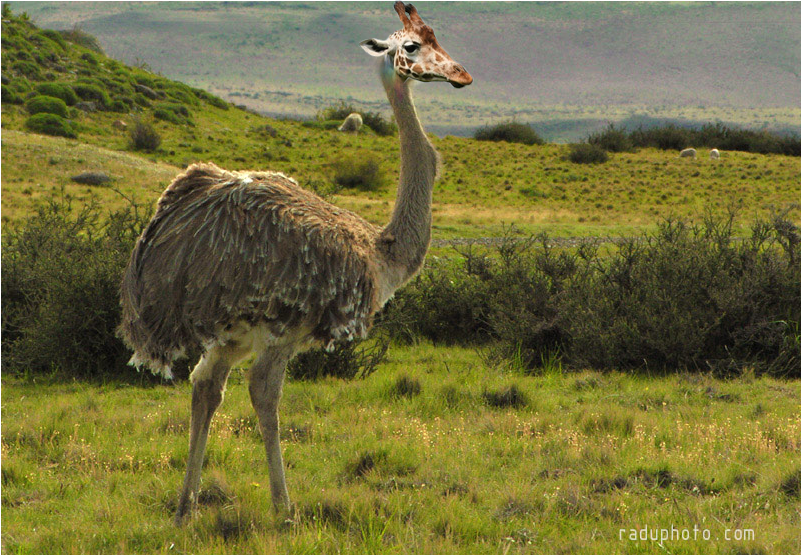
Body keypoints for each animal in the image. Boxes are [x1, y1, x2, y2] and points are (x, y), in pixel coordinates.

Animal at [118, 1, 471, 524]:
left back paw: (185, 506)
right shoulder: (288, 328)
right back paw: (278, 506)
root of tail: (165, 242)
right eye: (410, 45)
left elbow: (208, 387)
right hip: (268, 316)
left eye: (437, 39)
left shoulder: (235, 338)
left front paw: (191, 504)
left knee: (205, 386)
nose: (457, 74)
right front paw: (285, 510)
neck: (381, 251)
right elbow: (265, 394)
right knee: (255, 390)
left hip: (226, 329)